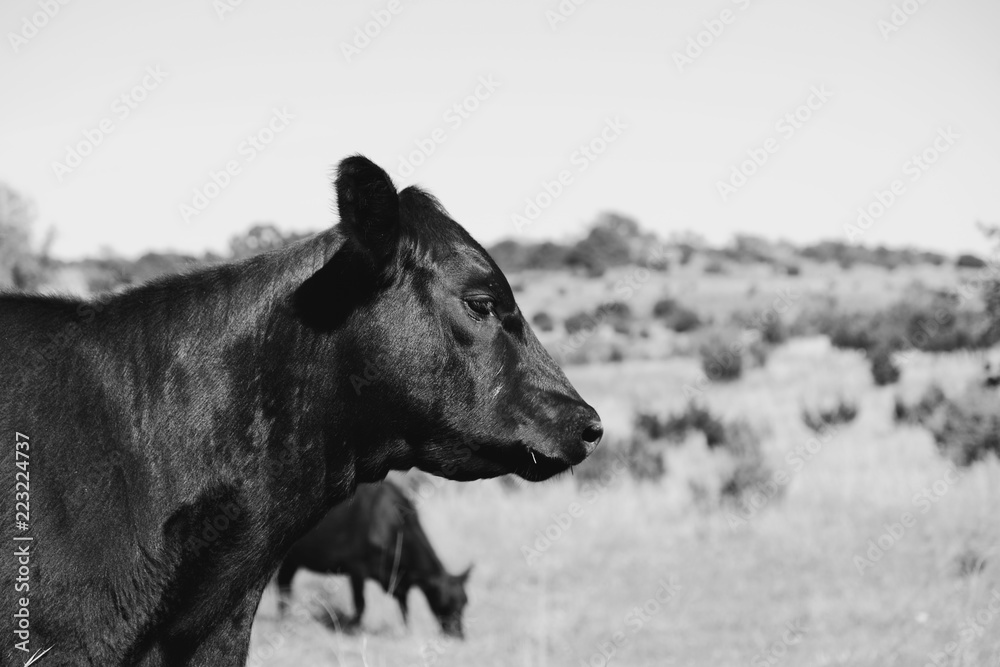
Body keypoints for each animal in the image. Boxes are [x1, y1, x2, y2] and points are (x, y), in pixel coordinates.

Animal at [276, 479, 470, 638]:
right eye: (444, 603)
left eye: (465, 602)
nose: (458, 635)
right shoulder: (356, 568)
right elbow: (361, 604)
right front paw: (354, 630)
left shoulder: (401, 581)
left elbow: (404, 607)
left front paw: (406, 631)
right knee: (283, 587)